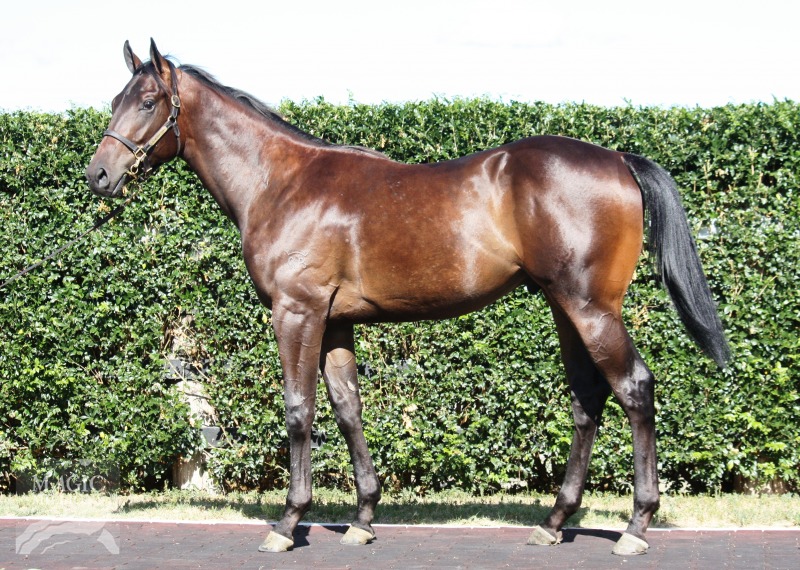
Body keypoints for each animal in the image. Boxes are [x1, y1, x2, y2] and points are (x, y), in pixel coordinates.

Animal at [86, 40, 730, 556]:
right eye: (116, 97)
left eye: (148, 102)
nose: (99, 175)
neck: (282, 182)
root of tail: (619, 158)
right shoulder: (335, 321)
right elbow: (347, 409)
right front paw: (363, 518)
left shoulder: (297, 313)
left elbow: (299, 411)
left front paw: (289, 521)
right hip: (564, 307)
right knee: (588, 398)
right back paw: (553, 522)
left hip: (591, 308)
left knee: (634, 388)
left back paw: (635, 527)